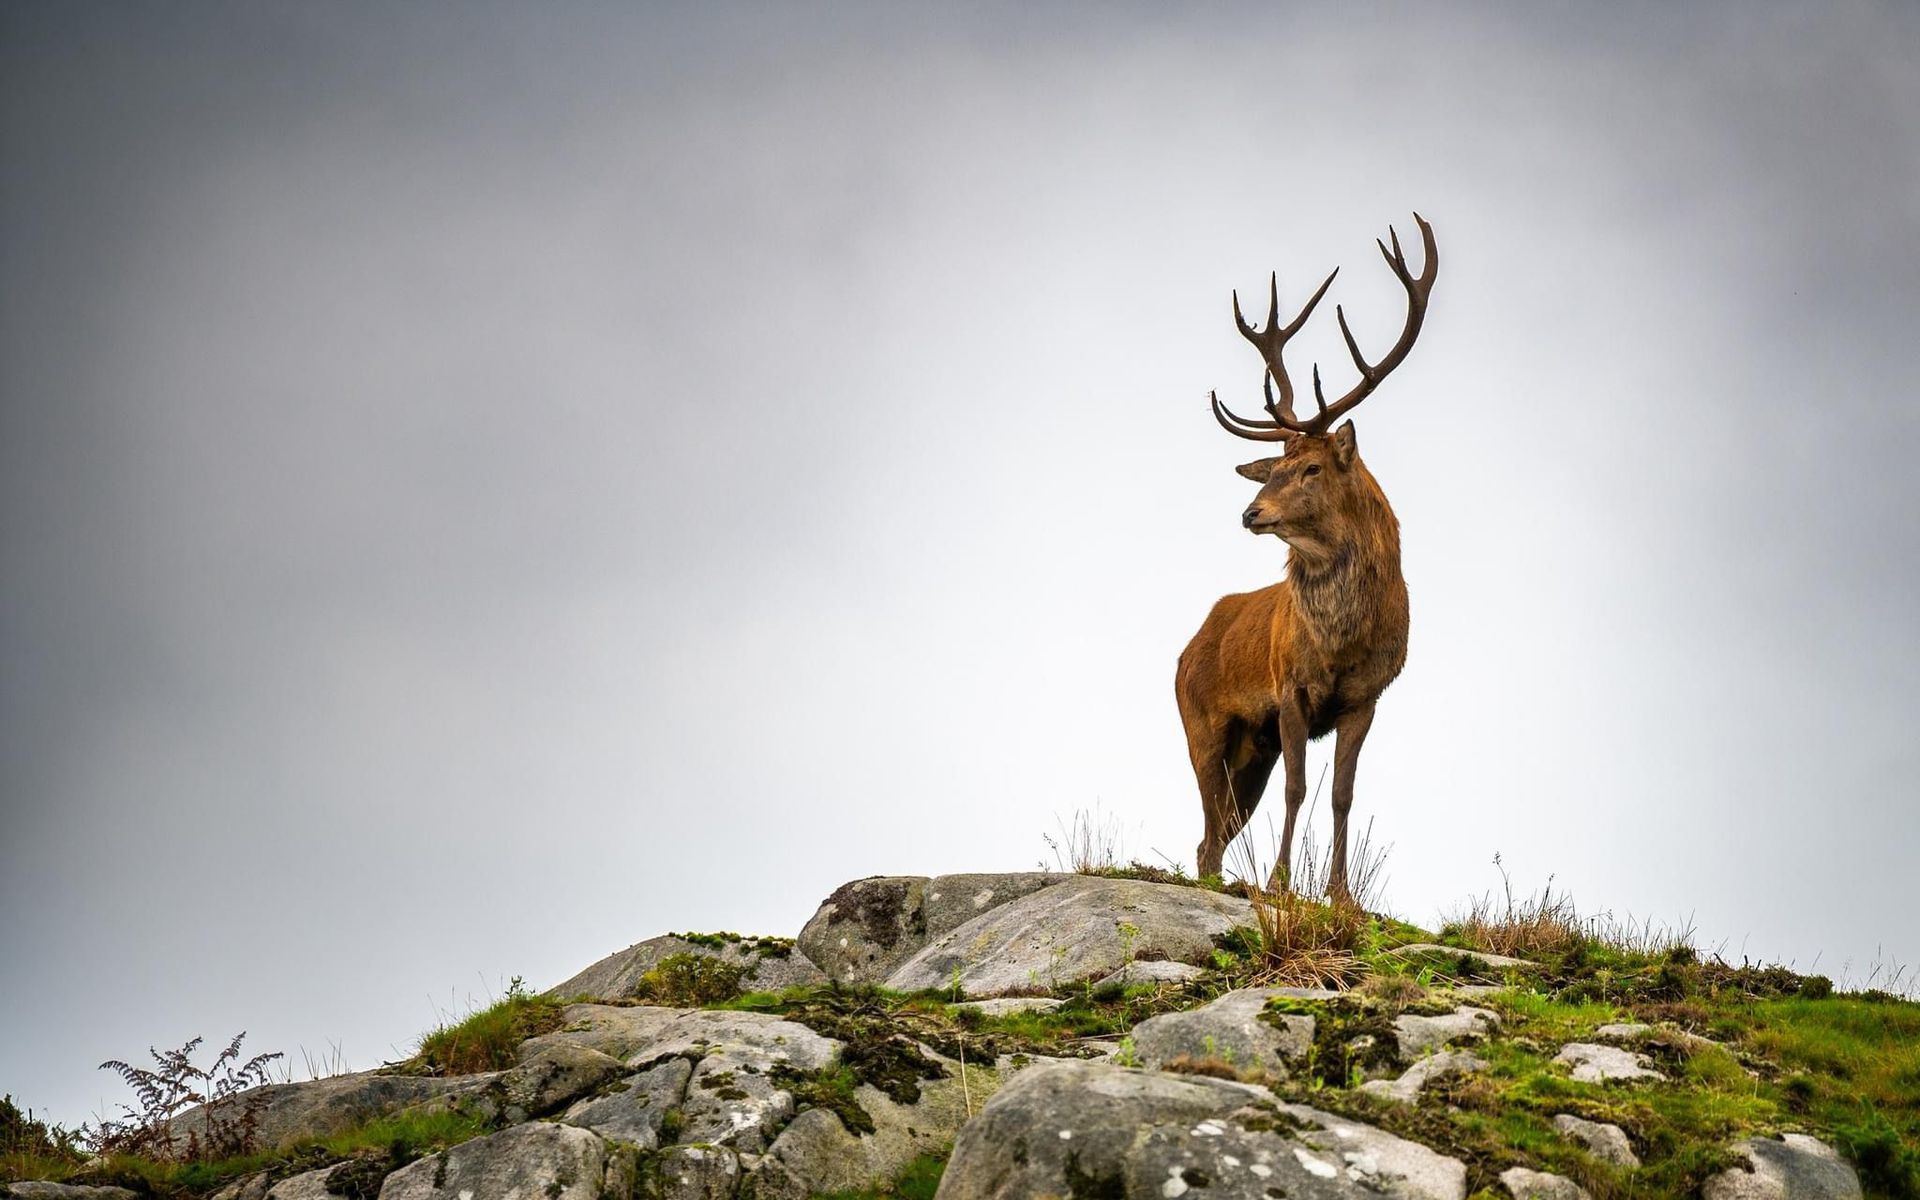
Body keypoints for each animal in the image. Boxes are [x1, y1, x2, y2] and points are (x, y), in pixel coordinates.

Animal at [1176, 214, 1437, 904]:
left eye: (1312, 467)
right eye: (1276, 467)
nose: (1251, 512)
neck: (1341, 642)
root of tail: (1188, 645)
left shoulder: (1366, 697)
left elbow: (1342, 793)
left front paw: (1341, 894)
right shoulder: (1288, 686)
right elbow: (1299, 789)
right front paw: (1280, 883)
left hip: (1252, 749)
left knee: (1214, 835)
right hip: (1202, 724)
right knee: (1207, 832)